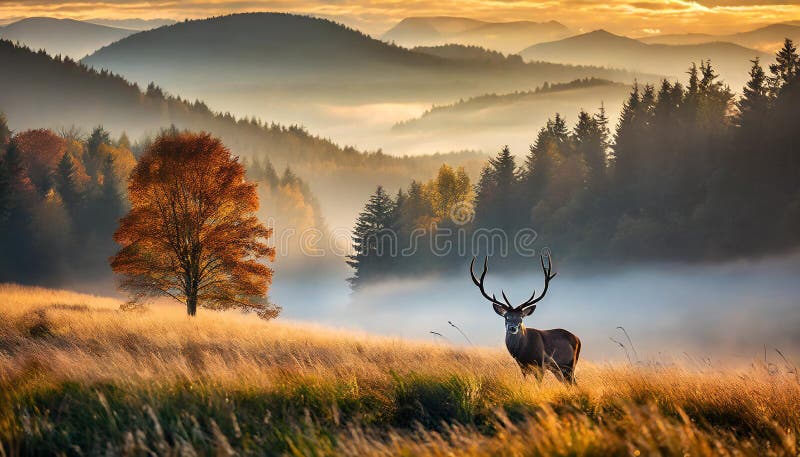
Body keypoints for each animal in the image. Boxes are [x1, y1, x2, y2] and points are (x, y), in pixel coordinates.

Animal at [470, 254, 581, 383]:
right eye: (506, 317)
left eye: (521, 317)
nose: (512, 328)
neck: (523, 352)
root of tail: (578, 339)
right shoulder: (522, 367)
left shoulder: (540, 365)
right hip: (559, 370)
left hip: (570, 365)